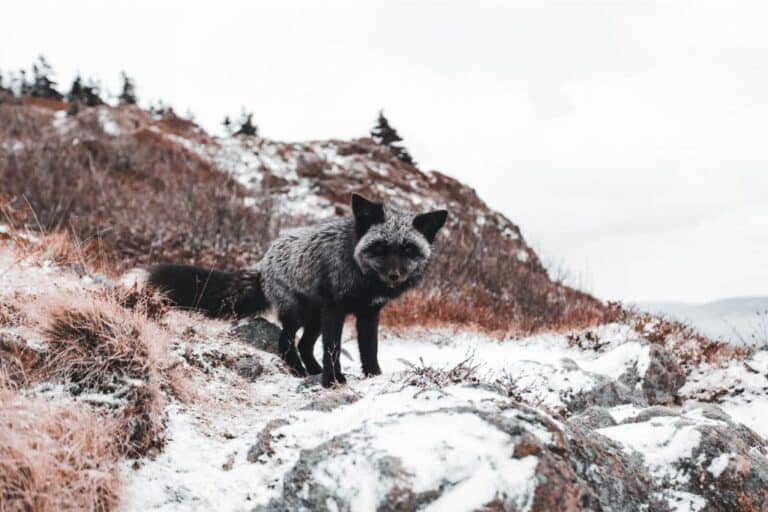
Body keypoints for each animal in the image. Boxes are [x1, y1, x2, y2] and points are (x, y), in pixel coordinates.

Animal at [148, 194, 448, 388]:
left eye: (408, 250)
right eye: (380, 248)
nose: (394, 276)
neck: (361, 276)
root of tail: (263, 263)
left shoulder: (369, 312)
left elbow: (369, 348)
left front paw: (373, 376)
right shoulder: (336, 308)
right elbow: (333, 348)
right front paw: (332, 381)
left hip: (314, 318)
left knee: (304, 345)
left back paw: (311, 370)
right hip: (299, 314)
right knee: (285, 343)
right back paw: (299, 371)